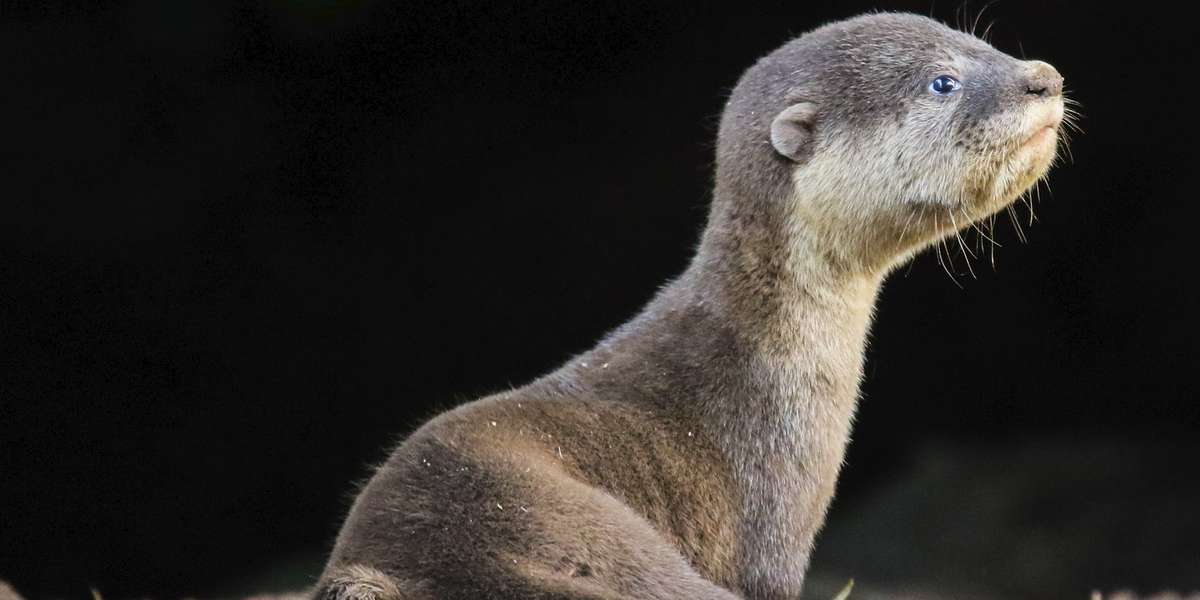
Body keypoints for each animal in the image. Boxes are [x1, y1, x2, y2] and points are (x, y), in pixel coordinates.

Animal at [317, 12, 1066, 600]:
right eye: (943, 82)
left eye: (983, 43)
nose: (1045, 77)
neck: (764, 356)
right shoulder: (770, 507)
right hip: (566, 527)